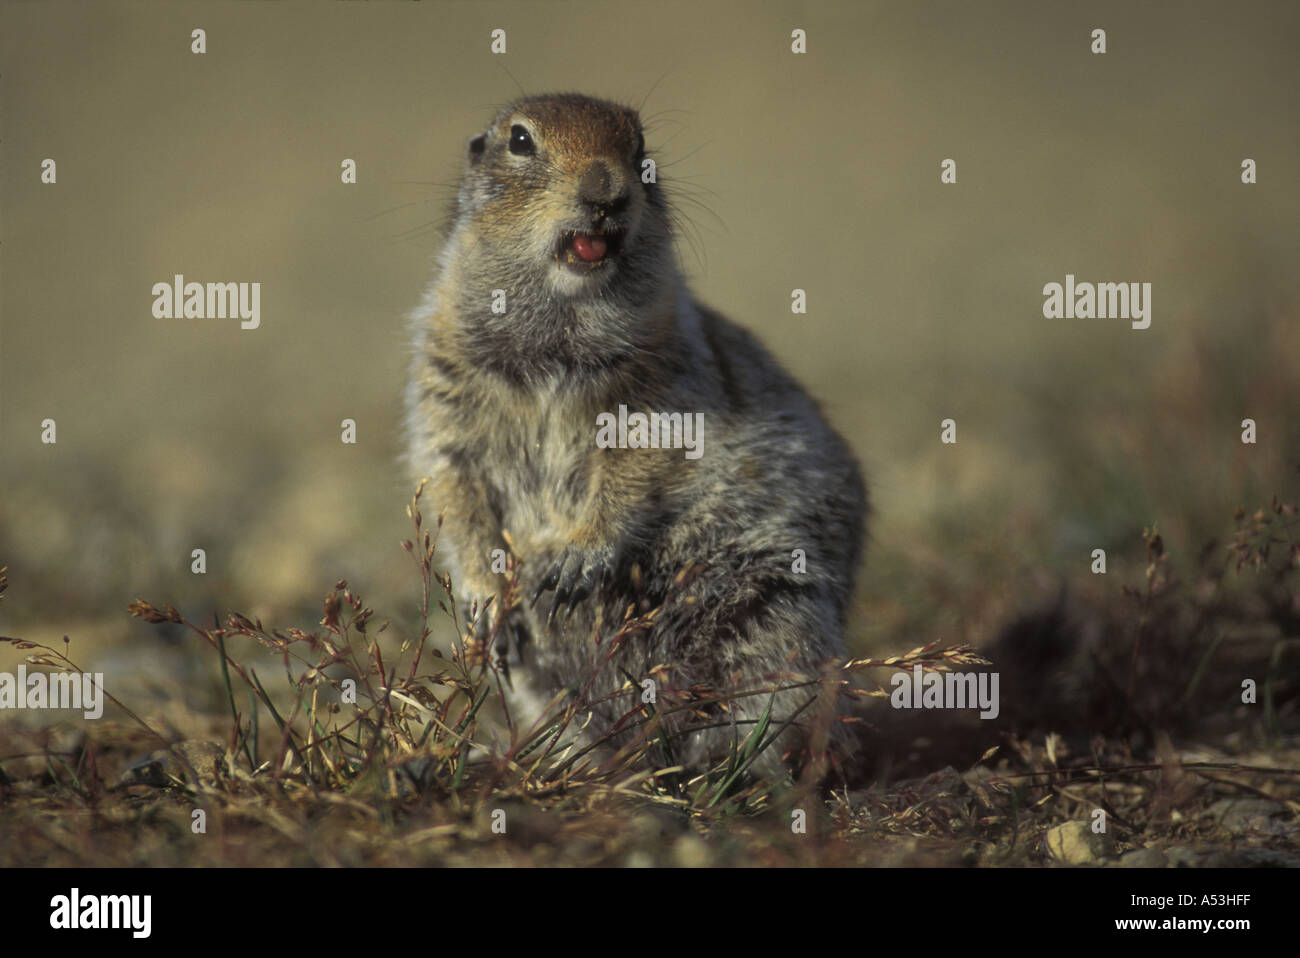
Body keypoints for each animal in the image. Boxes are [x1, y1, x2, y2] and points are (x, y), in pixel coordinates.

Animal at [405, 93, 867, 779]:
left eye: (640, 146)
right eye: (520, 140)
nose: (607, 192)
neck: (560, 336)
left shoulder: (667, 374)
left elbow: (641, 462)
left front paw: (573, 559)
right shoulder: (443, 379)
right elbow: (450, 479)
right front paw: (486, 598)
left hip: (774, 610)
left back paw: (737, 770)